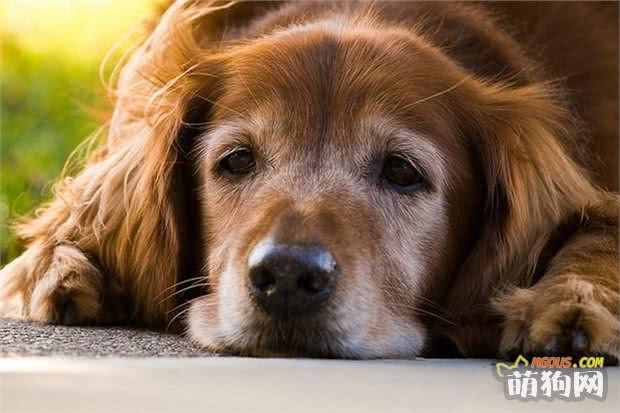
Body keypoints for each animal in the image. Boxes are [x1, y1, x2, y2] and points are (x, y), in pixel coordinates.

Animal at [1, 0, 620, 358]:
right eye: (237, 160)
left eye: (402, 171)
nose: (287, 277)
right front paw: (61, 268)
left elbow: (599, 232)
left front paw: (569, 301)